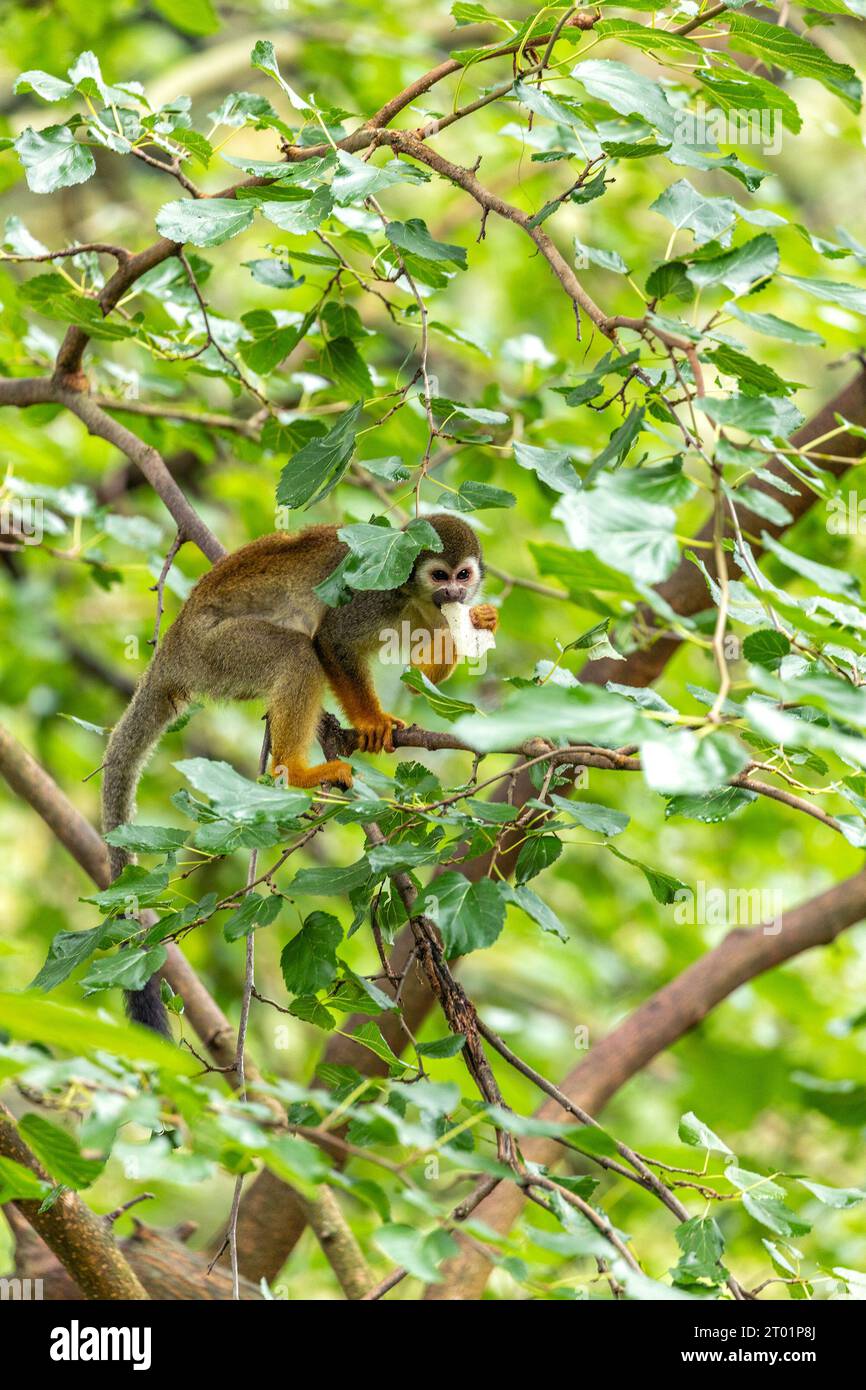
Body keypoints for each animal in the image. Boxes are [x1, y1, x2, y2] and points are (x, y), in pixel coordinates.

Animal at [102, 512, 498, 1034]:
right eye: (439, 575)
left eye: (463, 575)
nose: (455, 593)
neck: (413, 595)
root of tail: (172, 650)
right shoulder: (374, 596)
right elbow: (331, 642)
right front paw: (371, 722)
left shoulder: (428, 613)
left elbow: (419, 674)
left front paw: (478, 622)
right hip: (218, 652)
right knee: (297, 651)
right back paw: (293, 769)